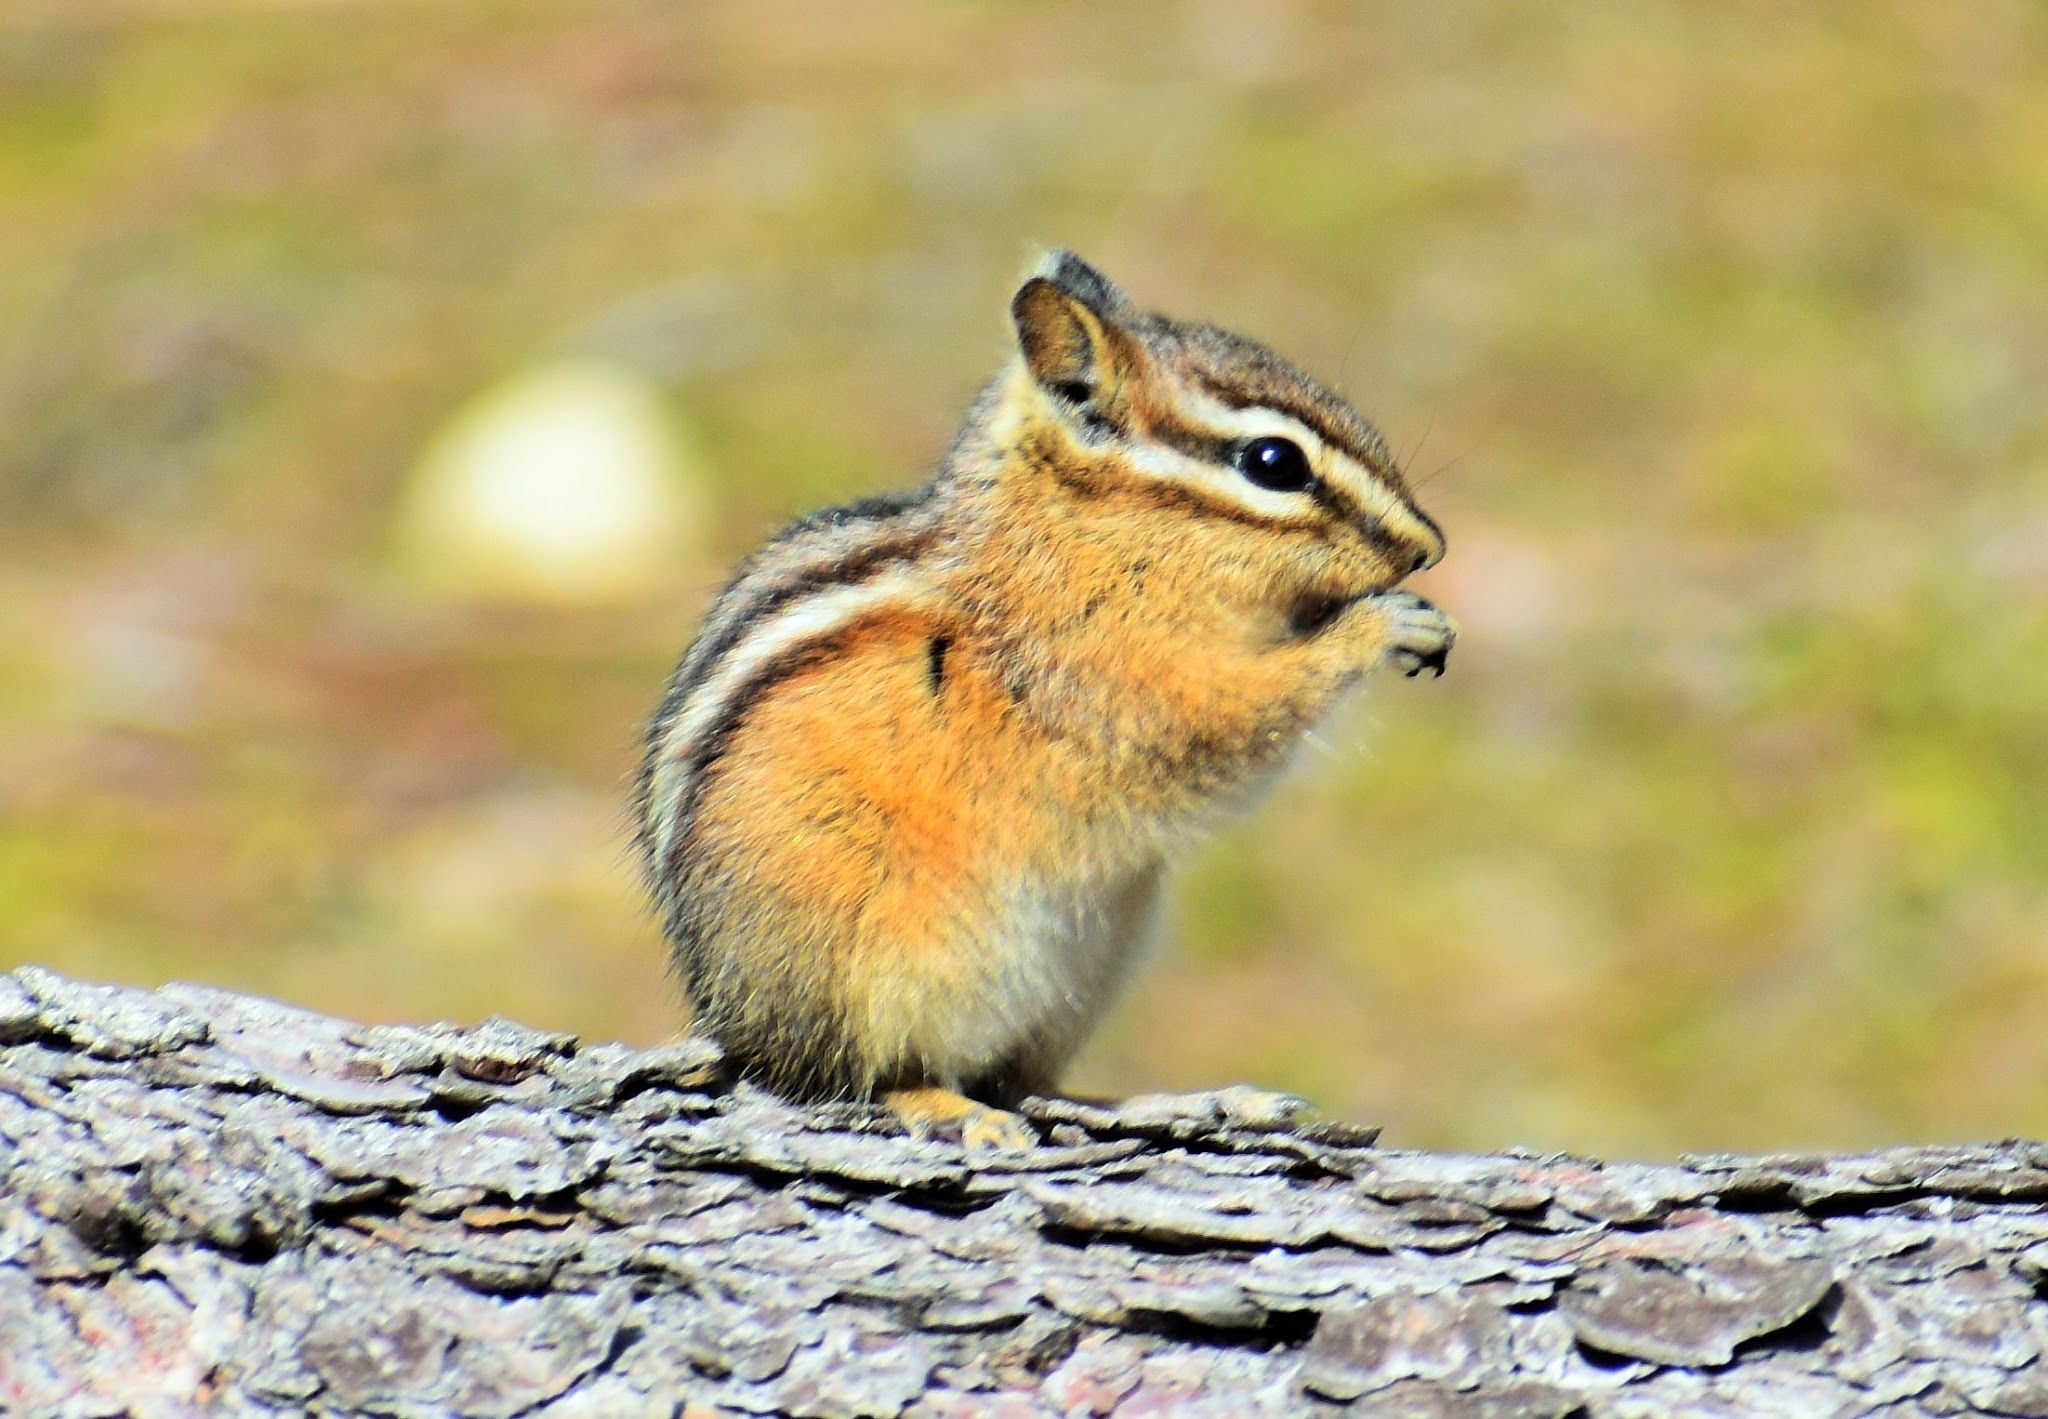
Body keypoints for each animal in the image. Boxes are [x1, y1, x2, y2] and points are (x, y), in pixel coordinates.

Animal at [637, 251, 1453, 1150]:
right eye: (1274, 462)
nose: (1430, 546)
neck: (1080, 533)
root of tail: (733, 1019)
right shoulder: (1120, 679)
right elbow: (1230, 717)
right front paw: (1380, 626)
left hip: (1088, 965)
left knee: (1031, 1081)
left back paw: (1185, 1101)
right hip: (877, 963)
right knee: (870, 1075)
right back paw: (953, 1110)